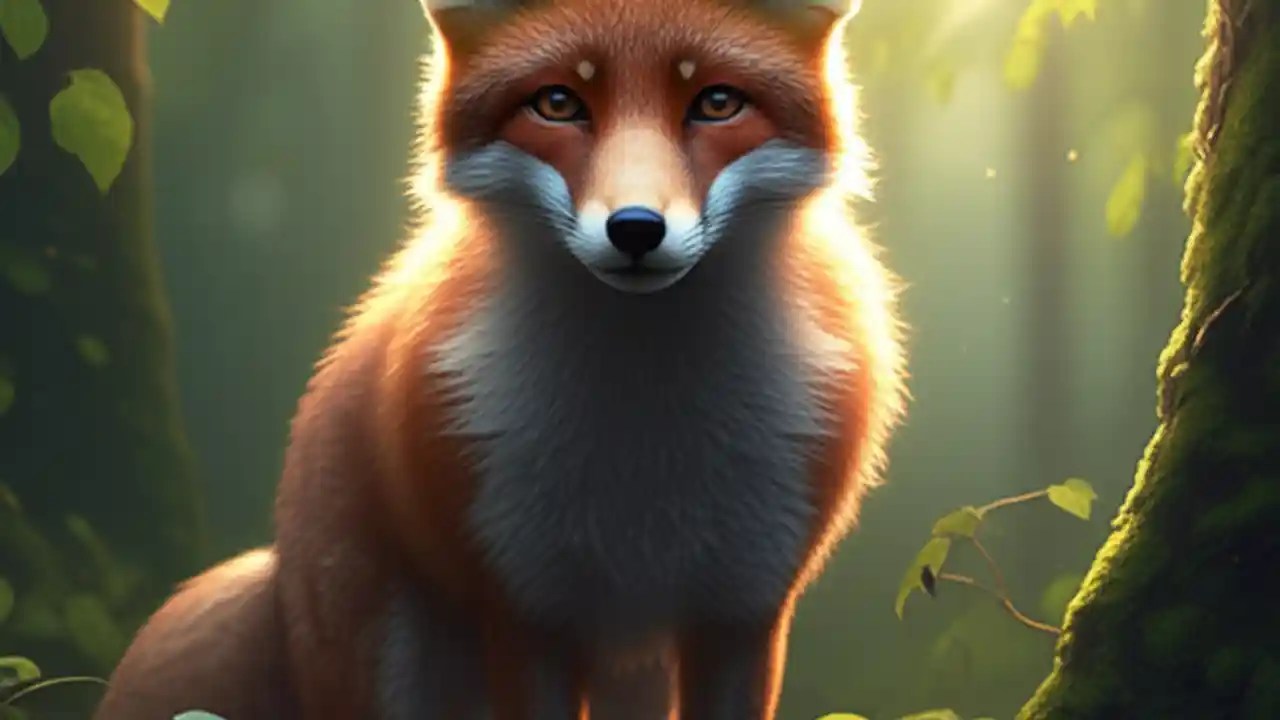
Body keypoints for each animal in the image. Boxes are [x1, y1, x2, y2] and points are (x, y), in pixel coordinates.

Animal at [92, 0, 907, 718]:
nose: (635, 229)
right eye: (557, 102)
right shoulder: (527, 610)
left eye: (716, 102)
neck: (644, 442)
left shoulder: (742, 612)